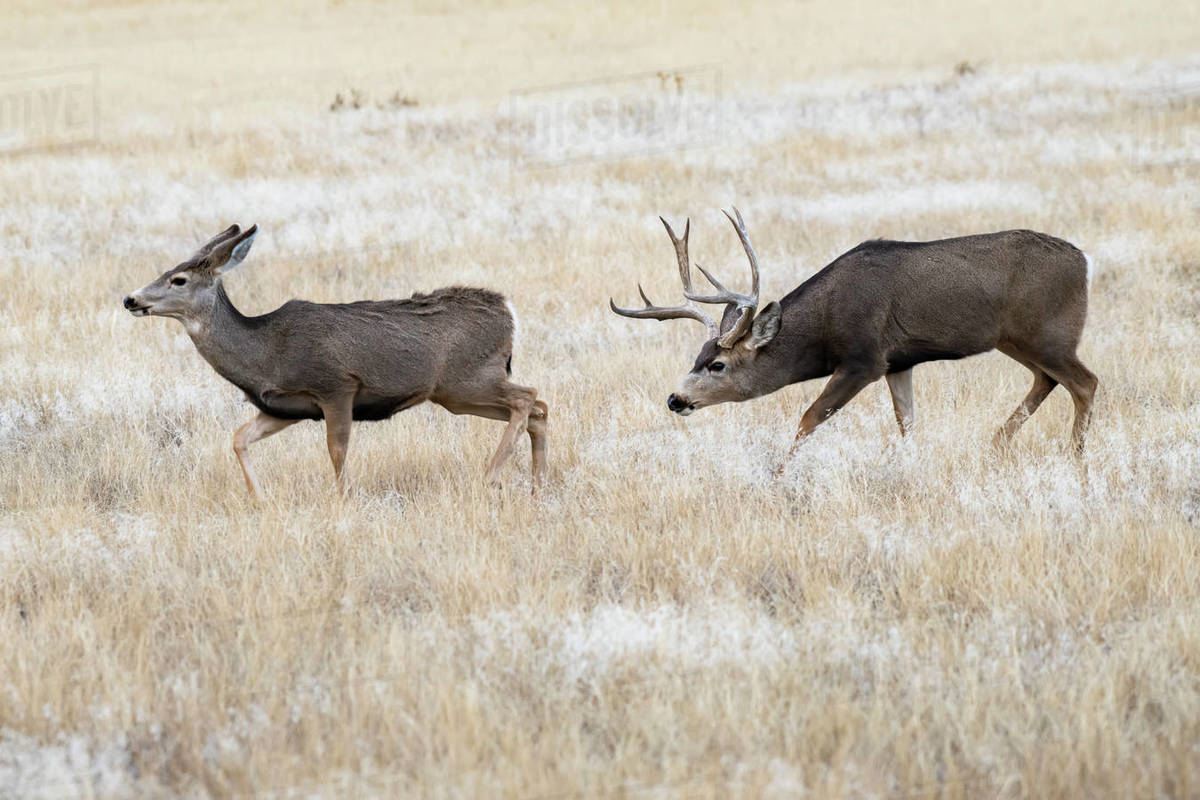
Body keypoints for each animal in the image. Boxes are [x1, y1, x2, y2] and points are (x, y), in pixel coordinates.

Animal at [123, 224, 548, 498]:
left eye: (178, 280)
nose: (130, 298)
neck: (266, 351)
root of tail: (509, 312)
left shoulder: (336, 386)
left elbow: (337, 450)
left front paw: (343, 499)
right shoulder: (285, 408)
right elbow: (239, 438)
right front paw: (260, 498)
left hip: (467, 378)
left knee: (528, 396)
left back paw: (492, 477)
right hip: (458, 393)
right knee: (538, 409)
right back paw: (537, 484)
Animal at [610, 209, 1097, 474]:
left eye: (718, 365)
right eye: (698, 355)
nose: (674, 399)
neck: (827, 323)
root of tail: (1085, 262)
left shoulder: (865, 358)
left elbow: (809, 417)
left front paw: (779, 474)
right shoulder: (901, 362)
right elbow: (907, 422)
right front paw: (911, 464)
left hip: (1045, 332)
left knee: (1084, 381)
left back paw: (1076, 456)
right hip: (1018, 339)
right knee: (1048, 380)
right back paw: (995, 445)